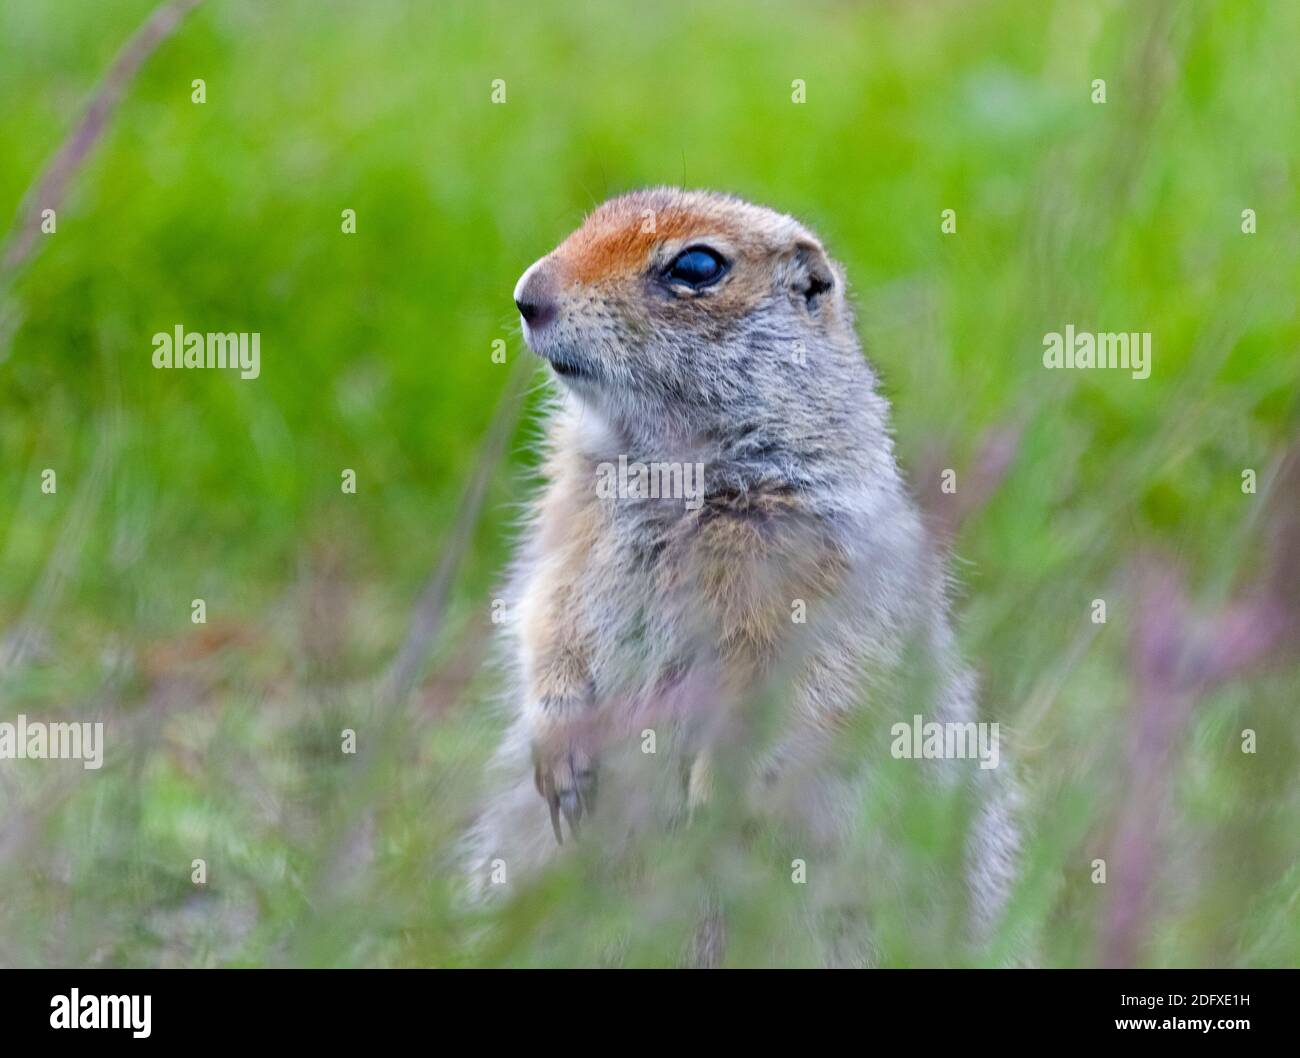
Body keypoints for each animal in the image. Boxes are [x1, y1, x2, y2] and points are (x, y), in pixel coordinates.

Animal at [464, 188, 1021, 963]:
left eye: (697, 266)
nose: (527, 297)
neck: (670, 466)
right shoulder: (563, 531)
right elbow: (544, 617)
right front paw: (561, 755)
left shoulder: (813, 566)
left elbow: (785, 683)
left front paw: (709, 797)